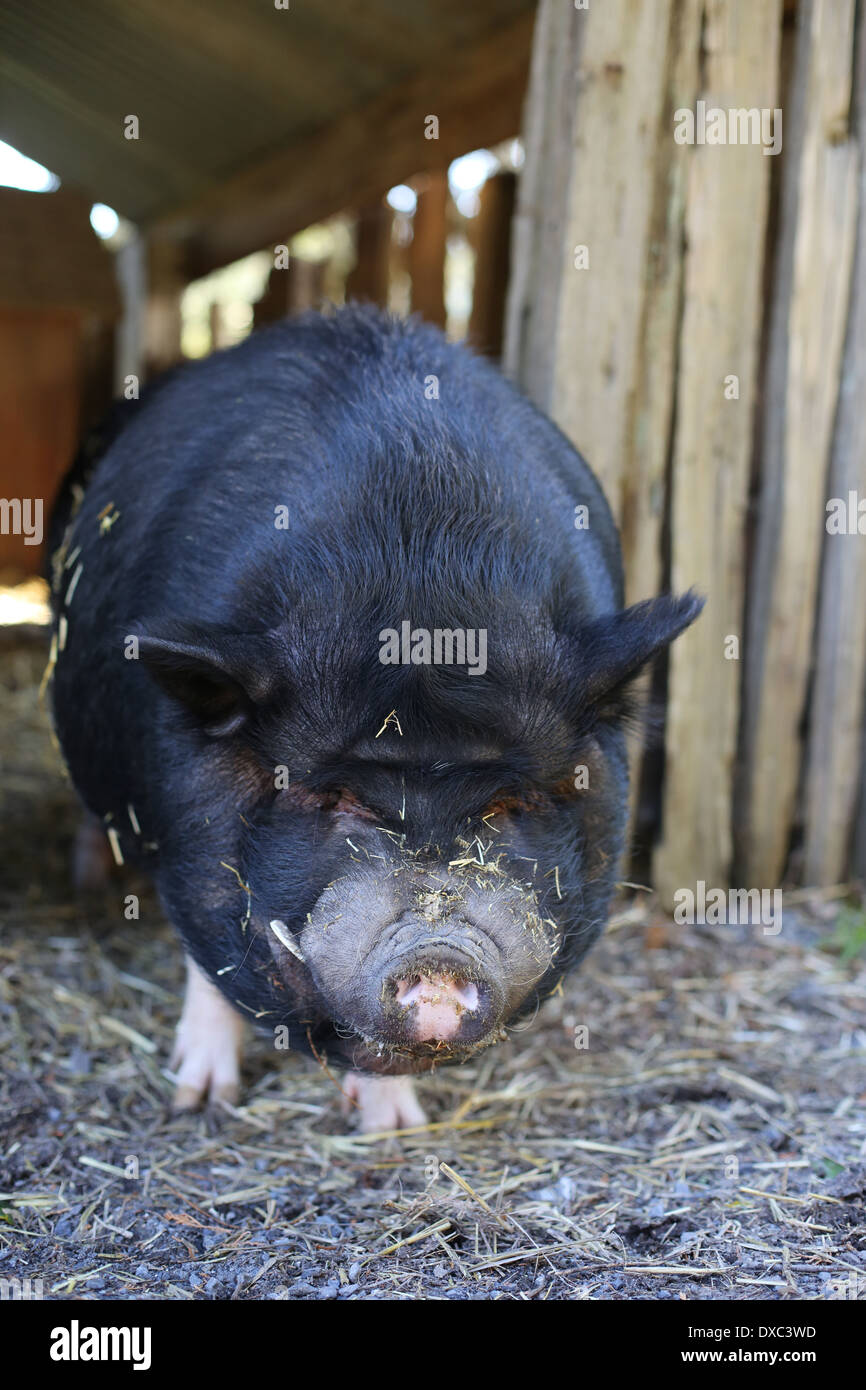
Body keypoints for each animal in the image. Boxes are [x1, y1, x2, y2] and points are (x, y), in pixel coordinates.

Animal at [49, 305, 701, 1132]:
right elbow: (210, 958)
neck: (421, 578)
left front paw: (395, 1131)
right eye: (334, 798)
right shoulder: (184, 835)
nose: (438, 962)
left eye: (509, 802)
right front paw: (200, 1099)